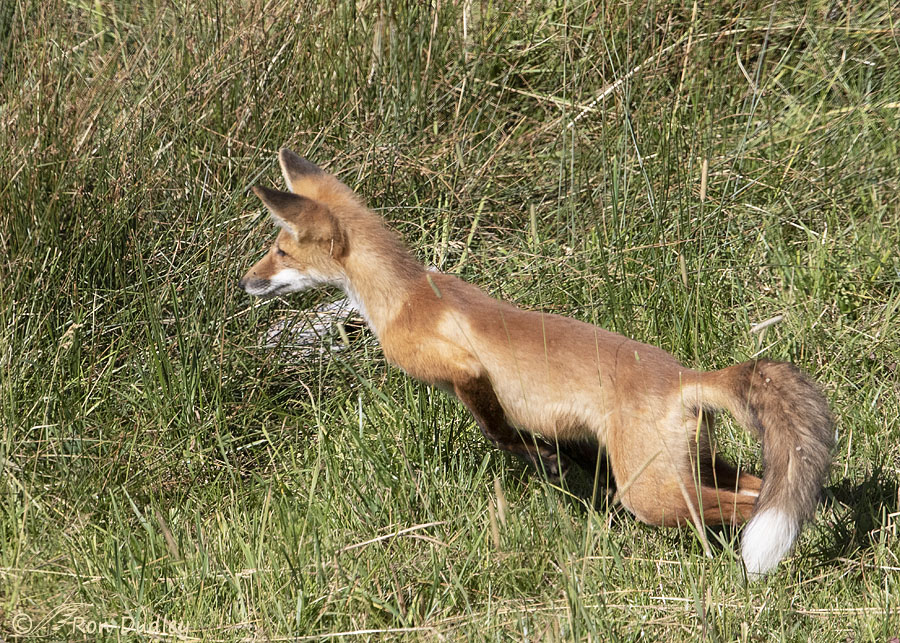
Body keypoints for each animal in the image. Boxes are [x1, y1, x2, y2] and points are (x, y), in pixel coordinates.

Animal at [239, 148, 835, 578]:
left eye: (282, 252)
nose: (245, 282)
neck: (405, 299)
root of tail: (686, 377)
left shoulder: (466, 372)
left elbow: (501, 433)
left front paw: (544, 460)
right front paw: (554, 462)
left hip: (650, 492)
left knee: (743, 508)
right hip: (690, 467)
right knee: (758, 487)